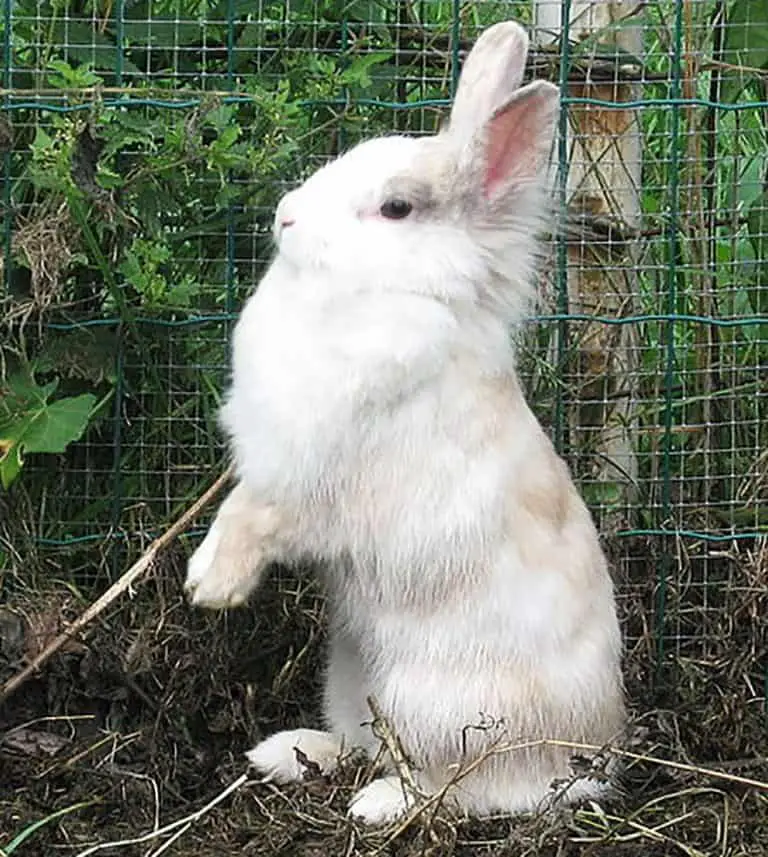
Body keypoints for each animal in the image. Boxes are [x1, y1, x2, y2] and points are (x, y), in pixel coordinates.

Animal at [185, 20, 626, 826]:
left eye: (395, 208)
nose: (285, 215)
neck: (384, 296)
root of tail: (592, 756)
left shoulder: (306, 480)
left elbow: (251, 518)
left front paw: (210, 585)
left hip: (435, 706)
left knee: (463, 787)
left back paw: (377, 804)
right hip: (351, 676)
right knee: (364, 743)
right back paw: (286, 754)